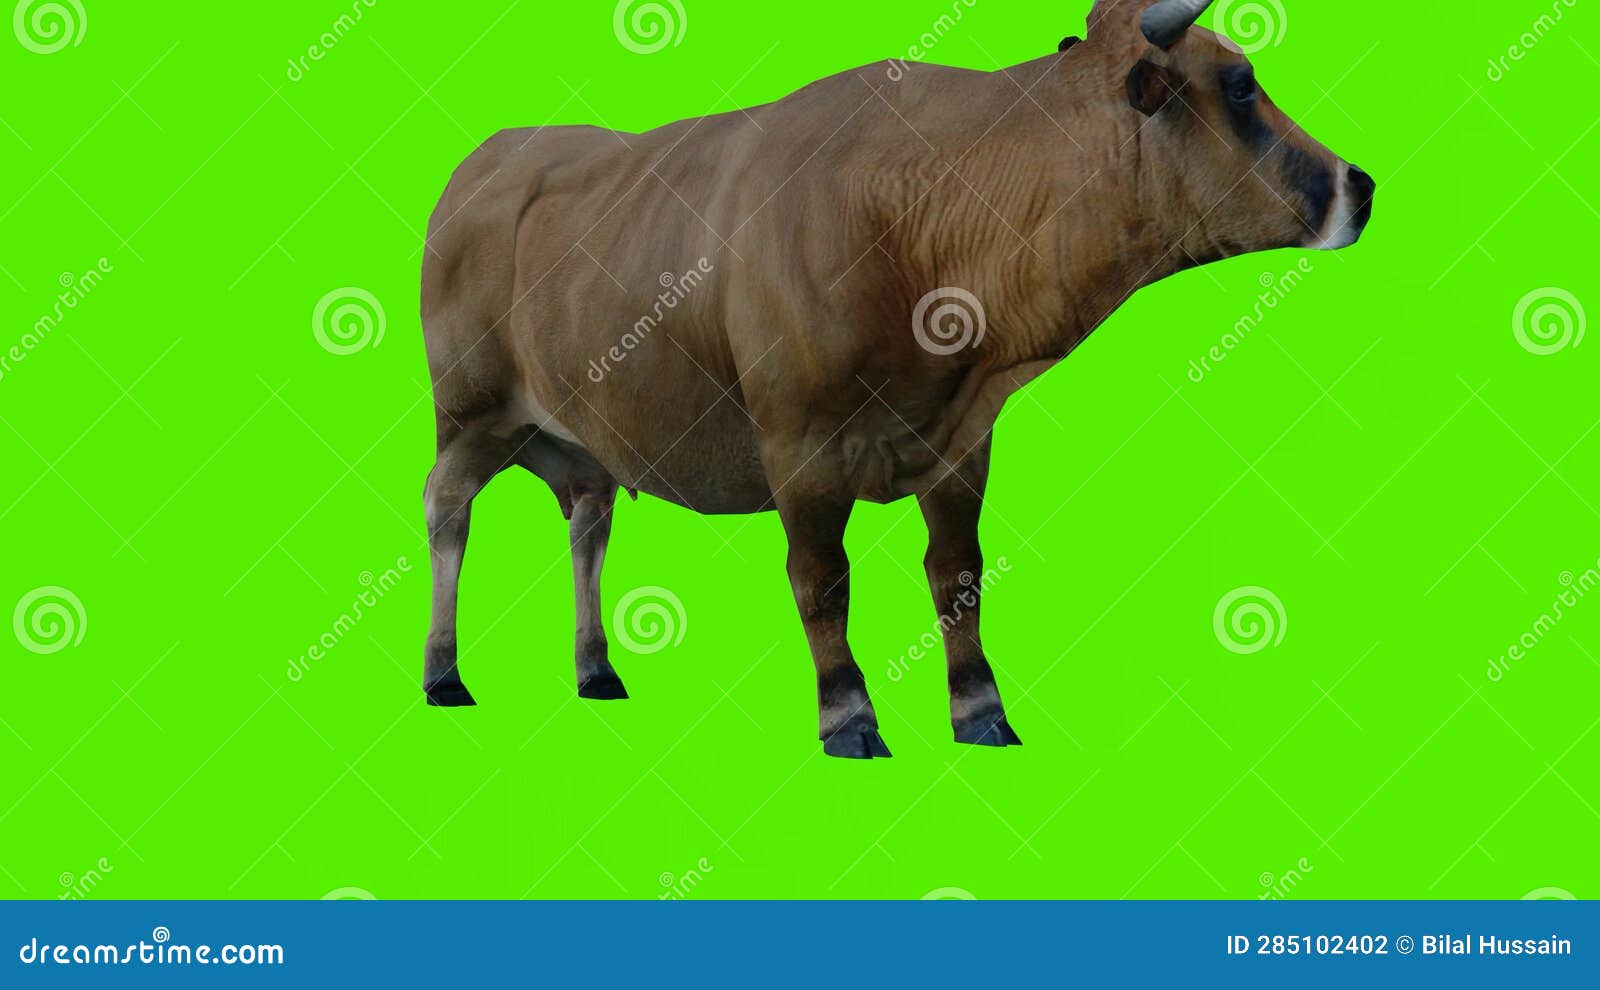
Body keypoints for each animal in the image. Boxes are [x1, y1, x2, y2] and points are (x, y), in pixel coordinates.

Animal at [419, 0, 1375, 758]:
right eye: (1241, 86)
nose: (1359, 184)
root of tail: (497, 151)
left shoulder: (964, 439)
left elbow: (956, 570)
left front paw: (981, 709)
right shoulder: (797, 442)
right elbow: (821, 578)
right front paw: (847, 715)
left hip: (572, 432)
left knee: (588, 515)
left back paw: (594, 668)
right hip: (469, 411)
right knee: (448, 511)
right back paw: (443, 674)